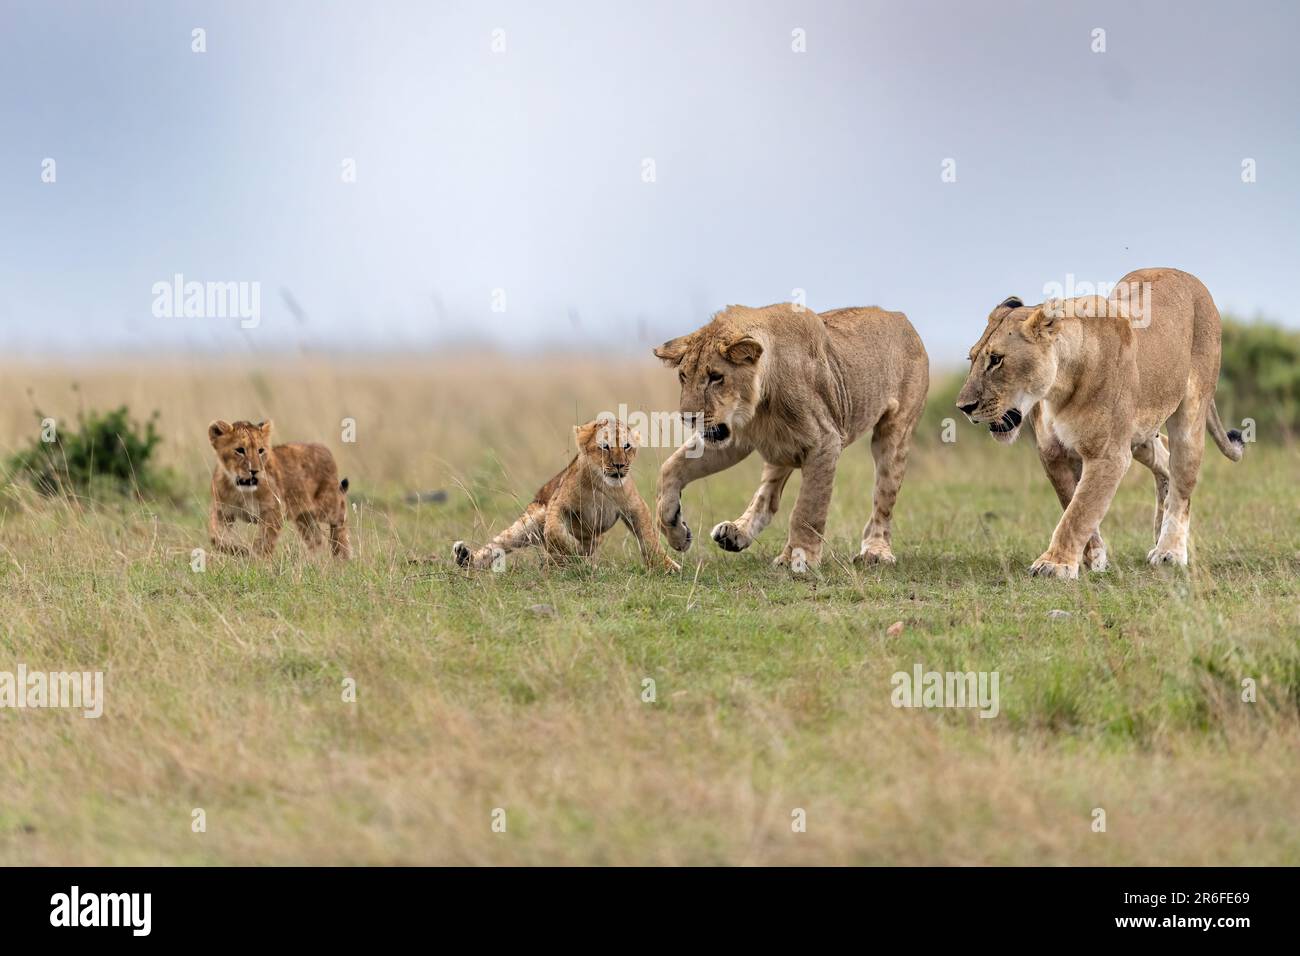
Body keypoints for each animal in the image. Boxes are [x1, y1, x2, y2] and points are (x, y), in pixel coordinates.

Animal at [208, 419, 351, 558]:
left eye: (261, 450)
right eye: (240, 450)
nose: (254, 471)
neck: (241, 490)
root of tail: (325, 449)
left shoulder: (274, 510)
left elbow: (265, 542)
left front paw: (257, 559)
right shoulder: (222, 511)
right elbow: (216, 538)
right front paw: (241, 551)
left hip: (327, 508)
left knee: (340, 519)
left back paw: (343, 556)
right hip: (304, 517)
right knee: (316, 539)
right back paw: (314, 561)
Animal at [453, 417, 679, 573]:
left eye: (627, 446)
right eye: (605, 447)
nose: (619, 465)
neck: (602, 485)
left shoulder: (635, 507)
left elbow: (649, 538)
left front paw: (666, 566)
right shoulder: (557, 505)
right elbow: (555, 532)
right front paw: (574, 550)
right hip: (530, 520)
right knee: (500, 543)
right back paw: (465, 556)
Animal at [653, 303, 930, 572]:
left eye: (716, 377)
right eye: (683, 376)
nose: (688, 417)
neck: (758, 408)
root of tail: (900, 317)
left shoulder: (826, 442)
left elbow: (807, 508)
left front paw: (799, 558)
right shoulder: (732, 438)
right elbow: (670, 468)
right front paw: (674, 530)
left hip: (894, 433)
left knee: (884, 498)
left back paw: (876, 551)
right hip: (779, 450)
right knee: (768, 497)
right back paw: (735, 533)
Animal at [956, 268, 1244, 579]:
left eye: (996, 360)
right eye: (972, 358)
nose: (963, 407)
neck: (1059, 389)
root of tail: (1184, 274)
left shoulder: (1107, 455)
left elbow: (1080, 511)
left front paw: (1054, 564)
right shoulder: (1053, 453)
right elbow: (1072, 501)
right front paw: (1093, 557)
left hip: (1189, 415)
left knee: (1182, 483)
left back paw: (1169, 551)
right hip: (1139, 435)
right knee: (1164, 459)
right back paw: (1158, 533)